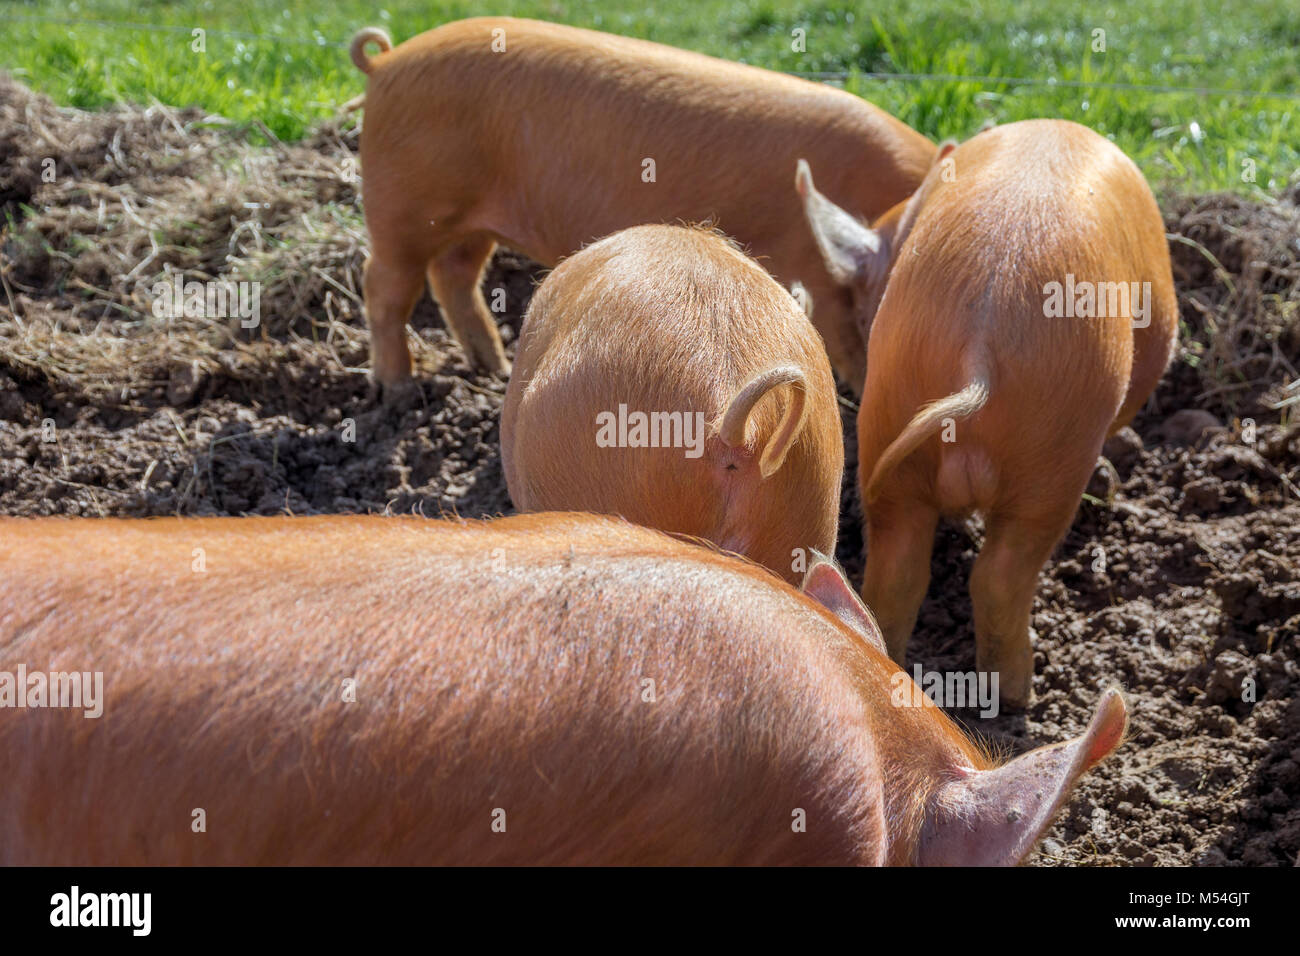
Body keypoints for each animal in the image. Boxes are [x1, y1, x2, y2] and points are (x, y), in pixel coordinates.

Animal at [348, 16, 935, 392]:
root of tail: (388, 62)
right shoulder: (816, 276)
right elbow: (848, 347)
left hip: (470, 221)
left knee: (453, 277)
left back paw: (492, 368)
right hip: (402, 205)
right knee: (385, 284)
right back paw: (400, 390)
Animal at [795, 119, 1178, 707]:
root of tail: (982, 343)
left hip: (893, 411)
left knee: (896, 571)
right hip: (1056, 450)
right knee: (1001, 576)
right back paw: (1019, 695)